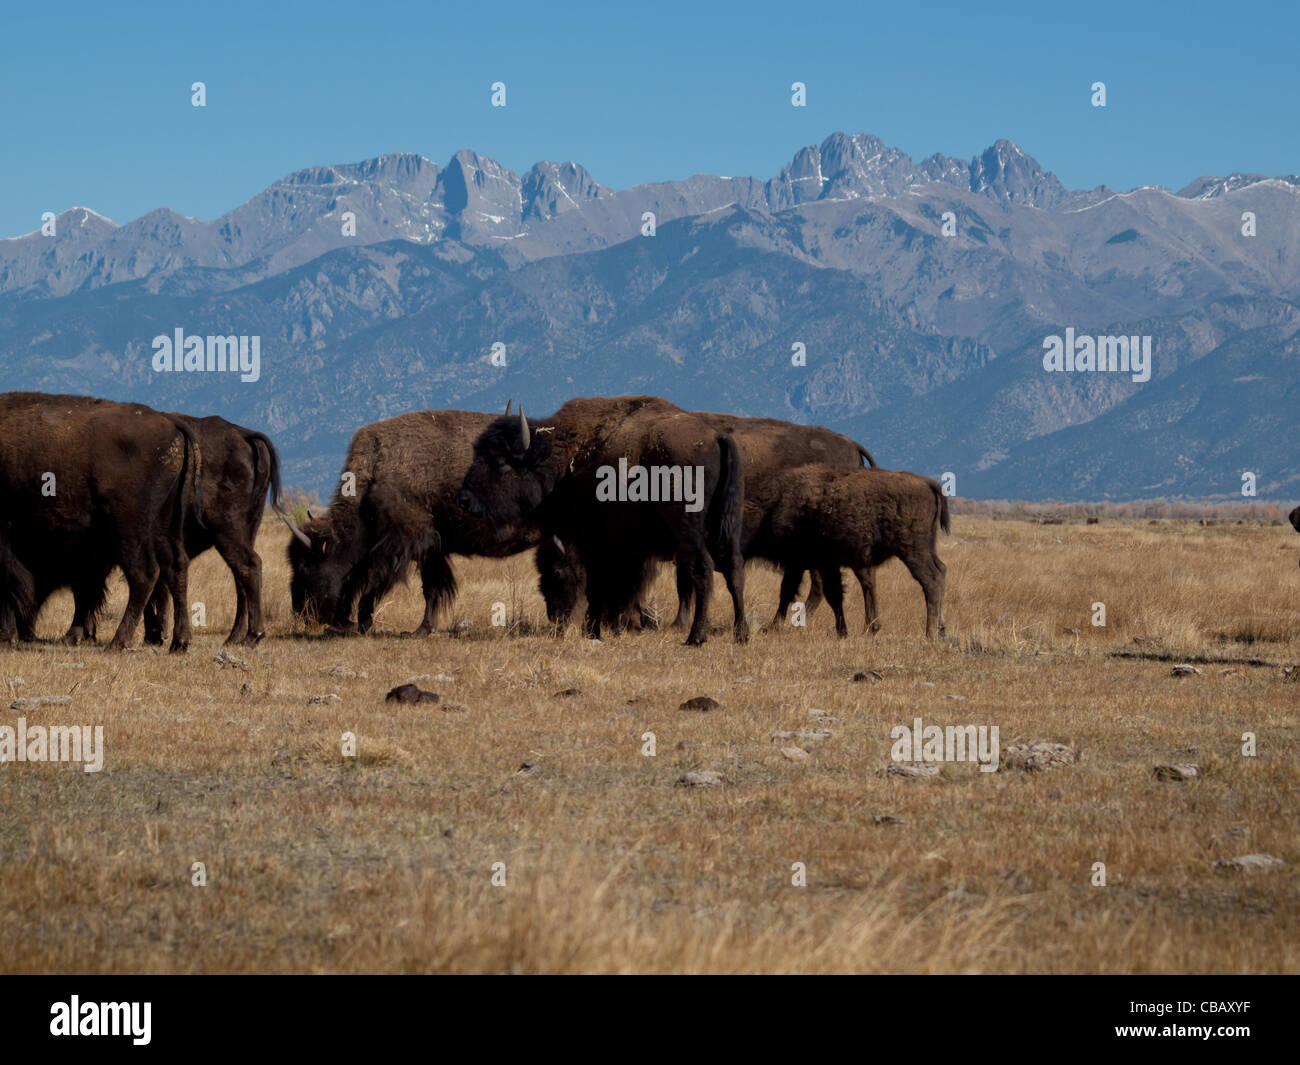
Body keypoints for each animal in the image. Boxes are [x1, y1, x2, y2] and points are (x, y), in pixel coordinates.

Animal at [459, 396, 749, 645]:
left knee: (703, 568)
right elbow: (616, 587)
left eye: (501, 462)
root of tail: (716, 437)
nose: (464, 499)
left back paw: (696, 637)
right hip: (727, 524)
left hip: (689, 528)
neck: (564, 460)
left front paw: (593, 631)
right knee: (734, 568)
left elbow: (599, 585)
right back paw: (741, 634)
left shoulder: (594, 543)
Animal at [744, 465, 949, 638]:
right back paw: (940, 629)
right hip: (928, 548)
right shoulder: (819, 565)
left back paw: (930, 633)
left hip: (913, 550)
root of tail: (927, 483)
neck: (773, 505)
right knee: (941, 570)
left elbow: (792, 591)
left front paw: (773, 627)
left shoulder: (802, 563)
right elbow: (828, 595)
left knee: (931, 580)